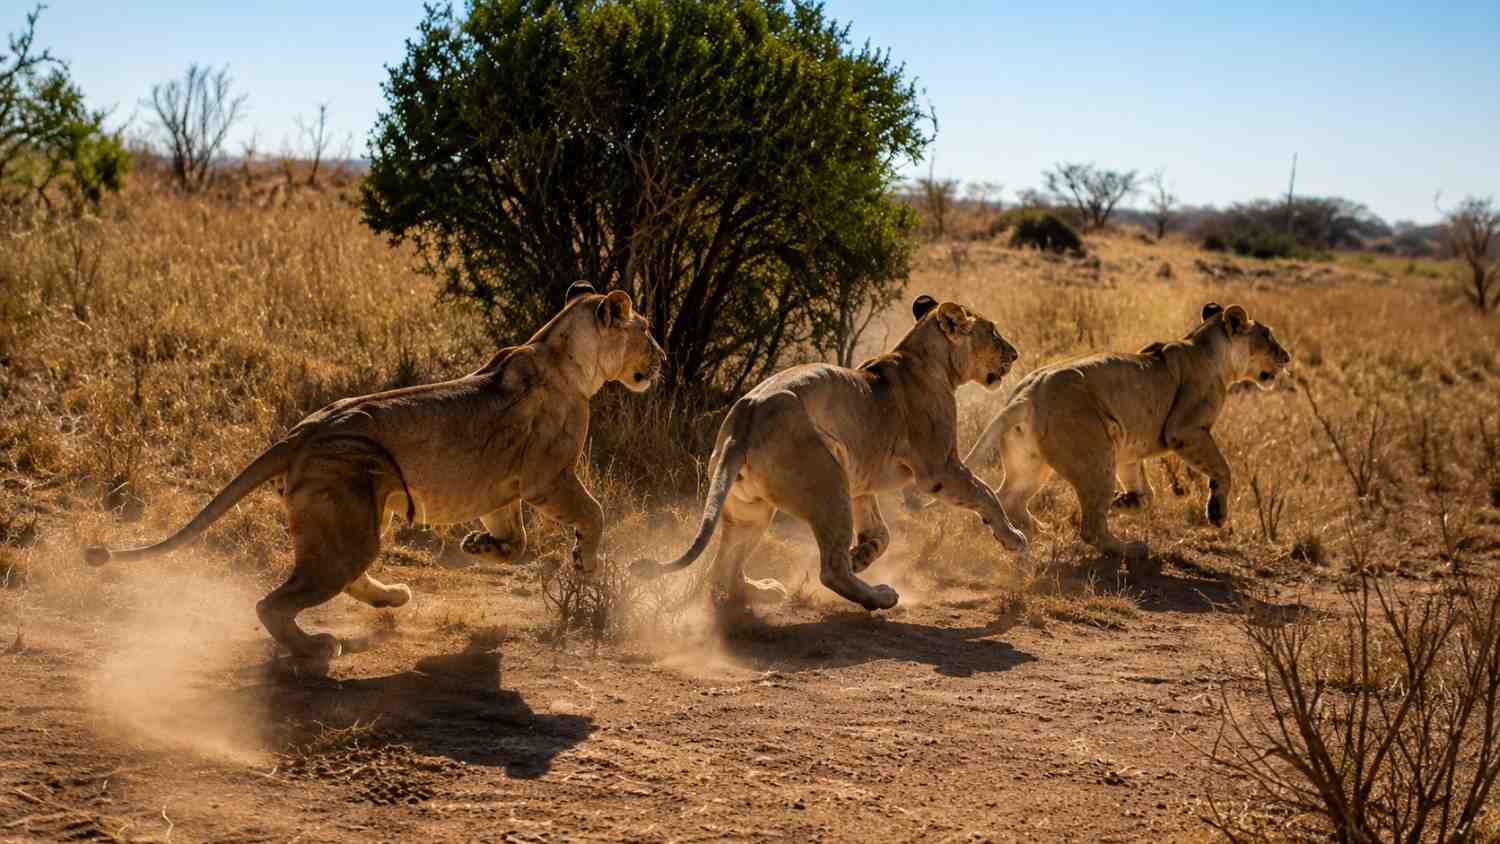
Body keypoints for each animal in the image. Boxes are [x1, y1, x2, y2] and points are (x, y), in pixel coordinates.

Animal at [84, 283, 664, 663]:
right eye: (647, 332)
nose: (662, 359)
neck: (566, 356)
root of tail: (305, 430)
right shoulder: (549, 477)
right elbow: (595, 512)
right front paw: (585, 561)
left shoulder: (504, 488)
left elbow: (516, 541)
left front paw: (480, 546)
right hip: (349, 525)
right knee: (274, 602)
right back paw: (318, 647)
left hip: (359, 516)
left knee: (341, 578)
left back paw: (391, 598)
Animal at [632, 295, 1027, 614]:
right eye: (993, 332)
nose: (1015, 354)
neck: (923, 355)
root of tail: (746, 417)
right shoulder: (938, 468)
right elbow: (986, 493)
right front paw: (1012, 537)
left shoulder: (863, 477)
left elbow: (881, 533)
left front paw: (862, 555)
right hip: (828, 481)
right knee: (830, 570)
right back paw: (880, 597)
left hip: (752, 509)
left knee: (723, 570)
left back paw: (766, 591)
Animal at [964, 302, 1290, 561]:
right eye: (1268, 336)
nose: (1287, 357)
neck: (1206, 346)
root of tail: (1027, 395)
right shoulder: (1185, 430)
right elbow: (1223, 469)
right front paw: (1217, 513)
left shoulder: (1128, 450)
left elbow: (1147, 495)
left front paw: (1125, 502)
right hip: (1095, 457)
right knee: (1091, 528)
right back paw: (1130, 549)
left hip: (1033, 463)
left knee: (1008, 497)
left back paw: (1031, 531)